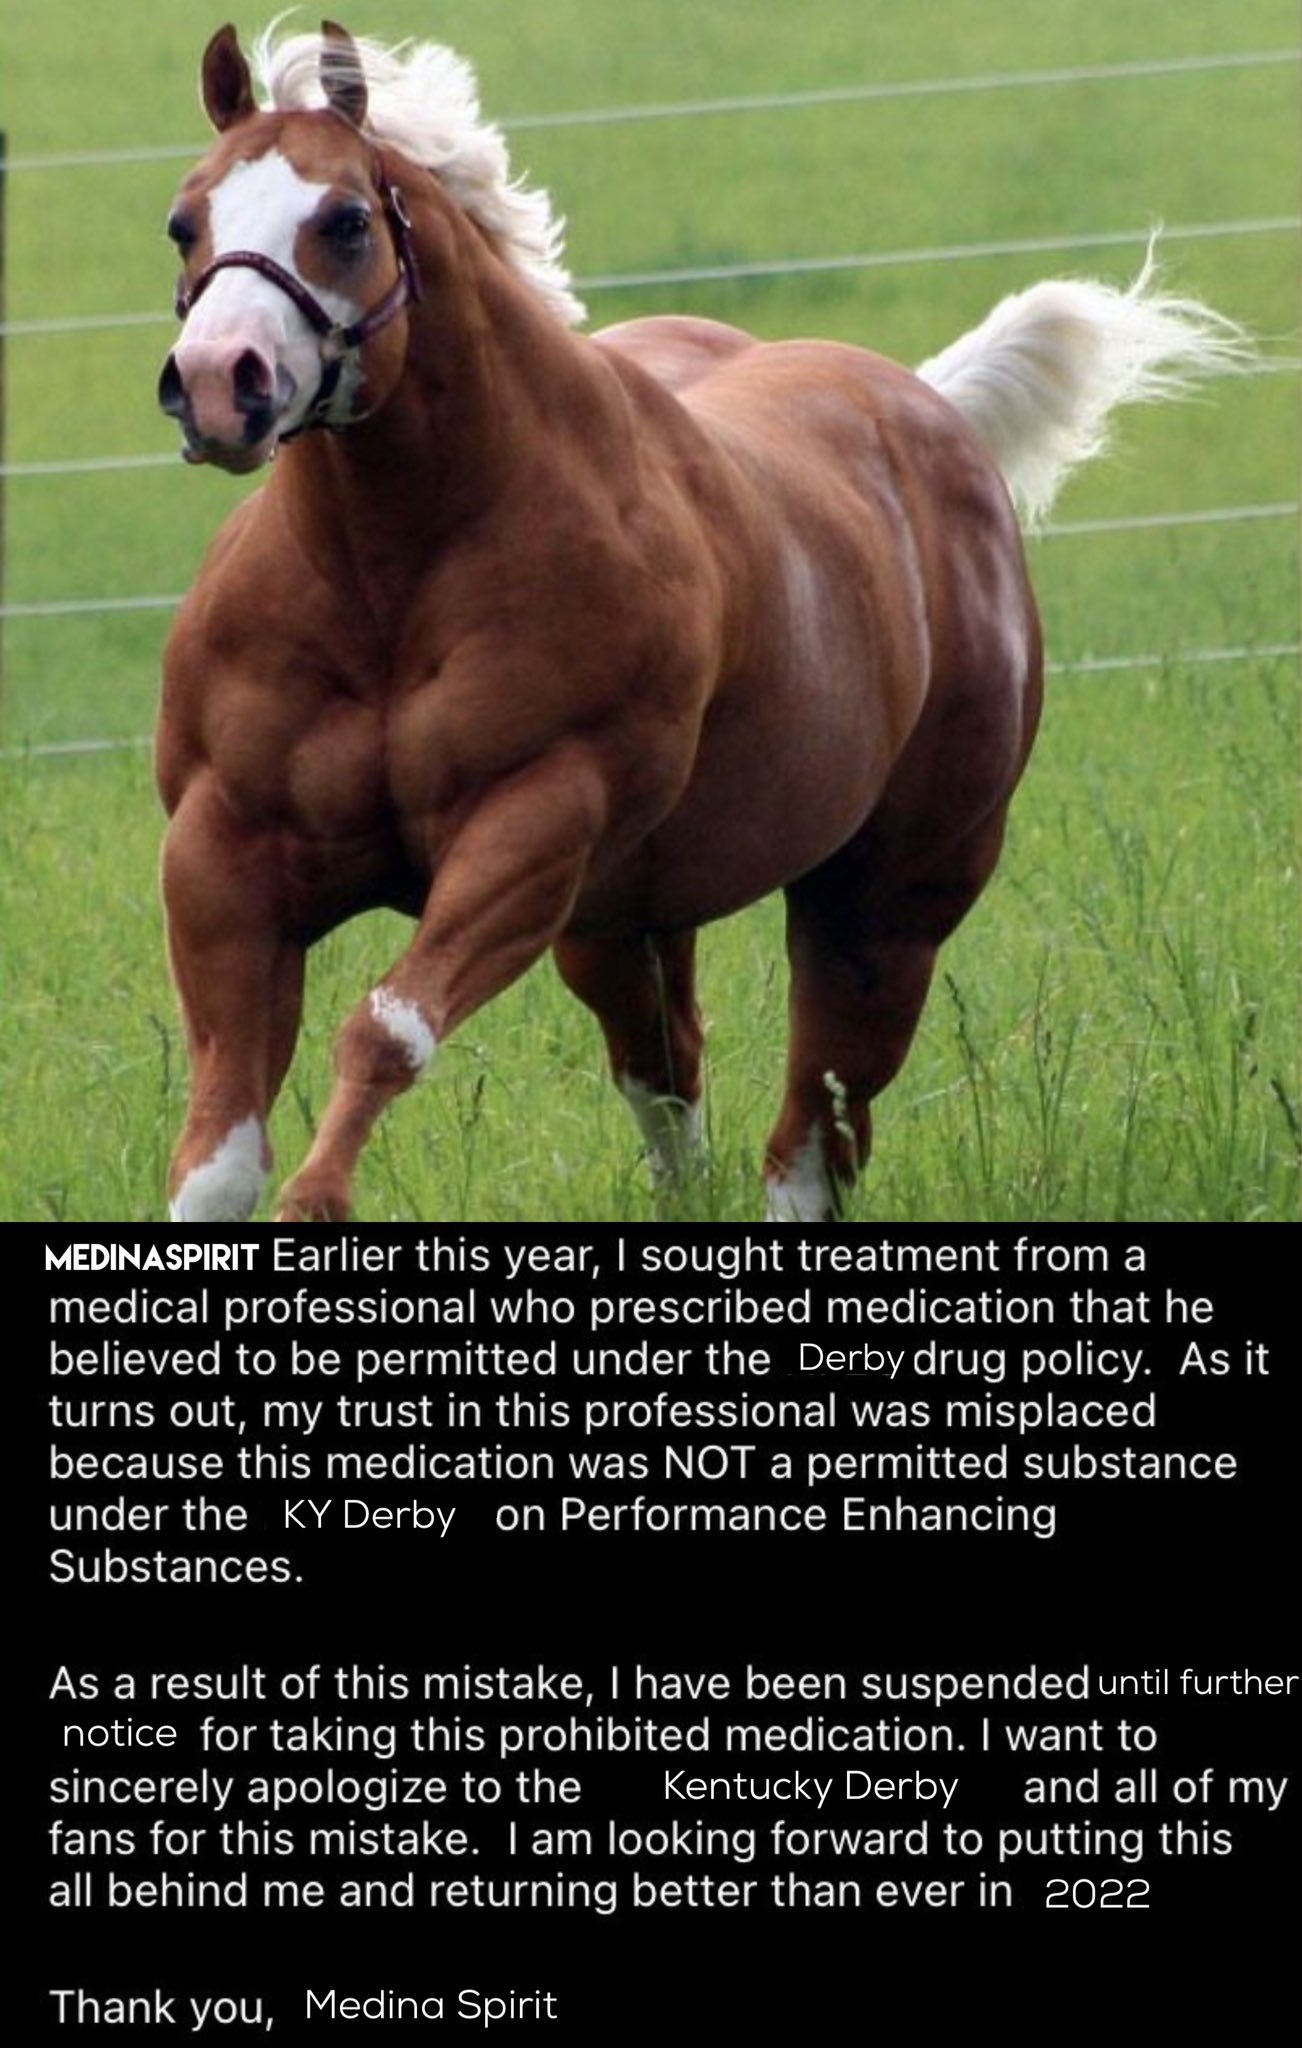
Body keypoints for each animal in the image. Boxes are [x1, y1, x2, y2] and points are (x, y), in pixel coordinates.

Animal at [156, 21, 1247, 1223]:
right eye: (185, 220)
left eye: (346, 220)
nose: (220, 384)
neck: (394, 583)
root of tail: (928, 403)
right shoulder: (224, 851)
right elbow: (219, 1145)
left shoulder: (535, 826)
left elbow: (386, 1030)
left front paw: (318, 1198)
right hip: (625, 923)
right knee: (671, 1074)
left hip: (885, 907)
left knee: (819, 1124)